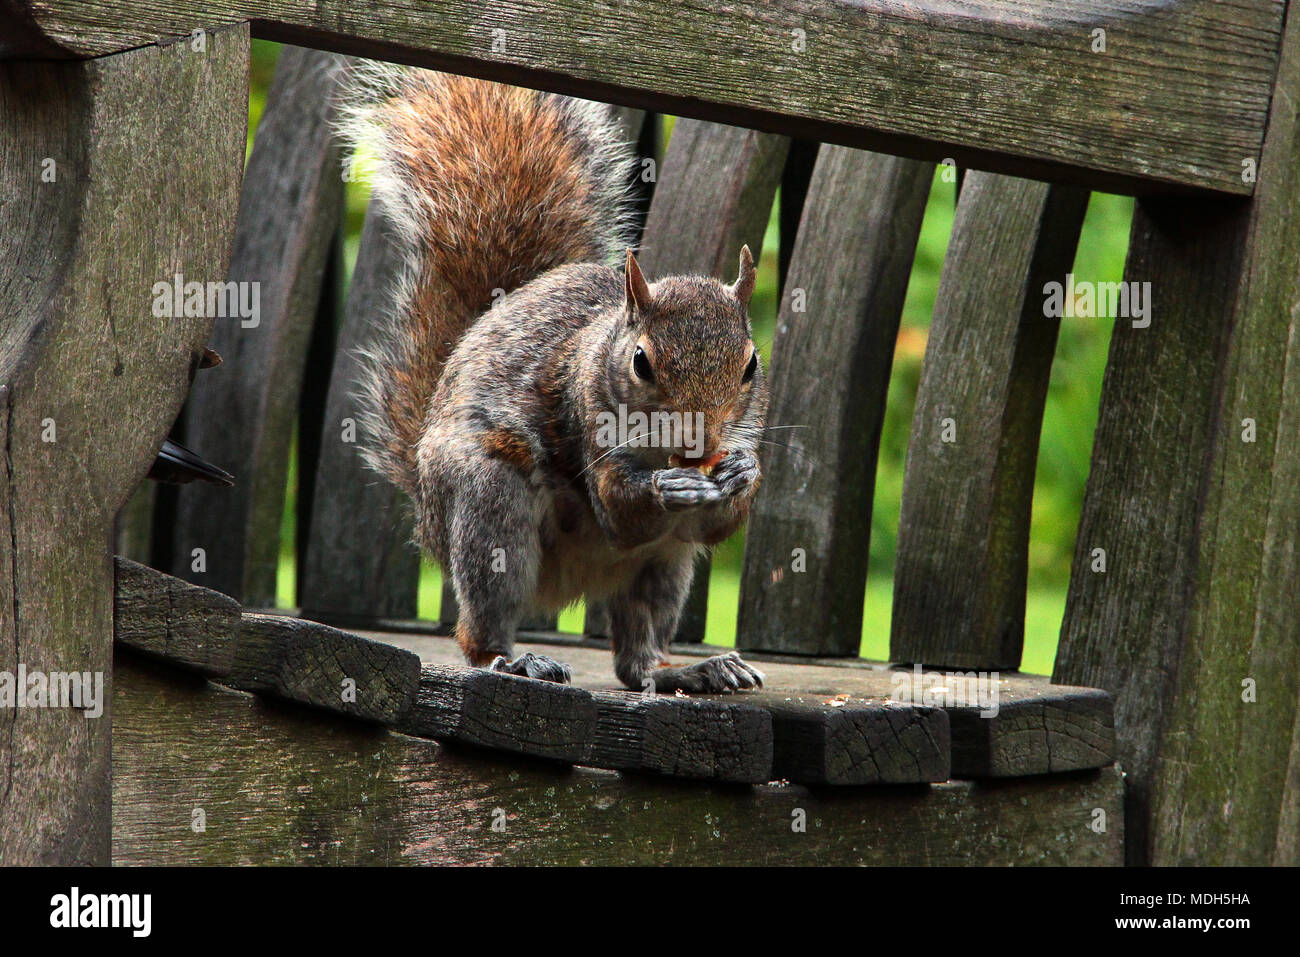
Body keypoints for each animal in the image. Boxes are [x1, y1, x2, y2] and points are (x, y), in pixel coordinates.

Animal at [339, 64, 768, 693]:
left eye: (751, 365)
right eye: (641, 362)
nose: (701, 445)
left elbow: (714, 526)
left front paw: (741, 472)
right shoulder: (584, 417)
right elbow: (618, 508)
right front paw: (666, 487)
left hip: (665, 566)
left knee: (635, 653)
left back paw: (692, 669)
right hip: (488, 508)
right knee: (481, 626)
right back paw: (513, 659)